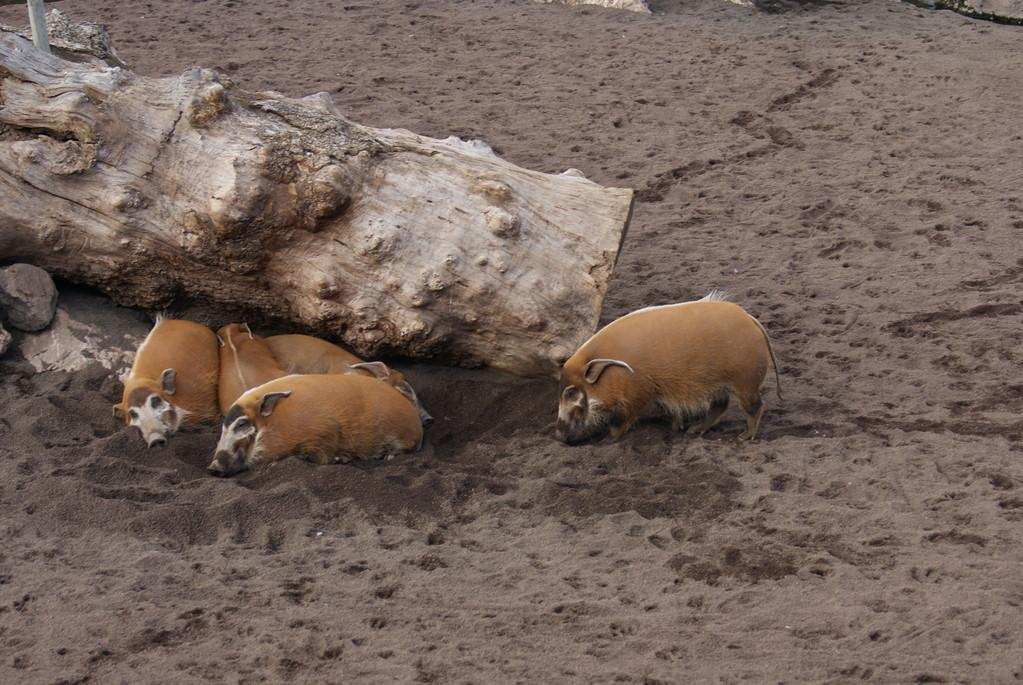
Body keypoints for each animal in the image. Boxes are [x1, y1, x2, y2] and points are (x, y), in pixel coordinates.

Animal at [207, 373, 423, 476]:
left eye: (242, 424)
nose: (212, 468)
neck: (279, 422)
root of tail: (417, 423)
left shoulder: (322, 436)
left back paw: (387, 457)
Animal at [555, 292, 781, 444]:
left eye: (571, 392)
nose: (559, 437)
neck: (615, 373)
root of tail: (751, 319)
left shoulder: (637, 395)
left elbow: (620, 423)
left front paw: (610, 439)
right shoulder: (658, 391)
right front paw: (676, 428)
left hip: (745, 381)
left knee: (755, 407)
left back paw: (745, 437)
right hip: (722, 385)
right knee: (720, 405)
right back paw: (694, 430)